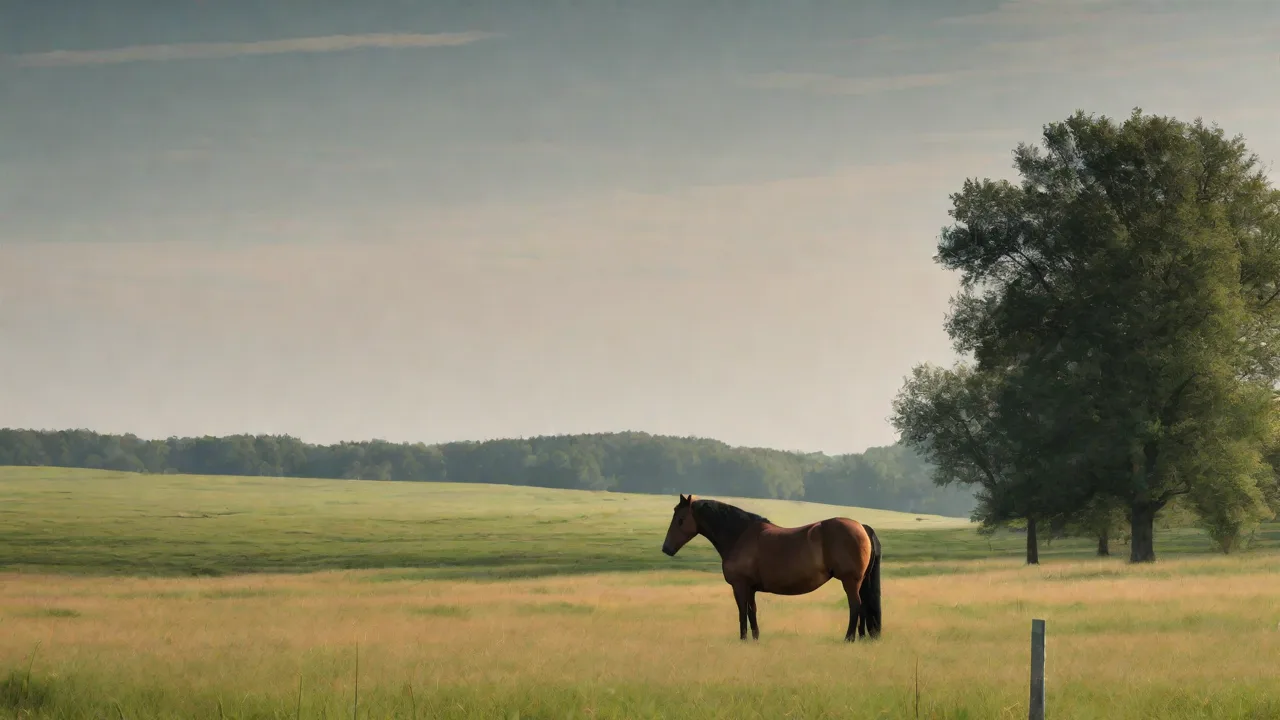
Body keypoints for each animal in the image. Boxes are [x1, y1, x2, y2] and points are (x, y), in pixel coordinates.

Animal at [661, 494, 882, 642]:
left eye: (680, 520)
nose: (666, 548)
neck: (739, 536)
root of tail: (861, 527)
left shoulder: (740, 586)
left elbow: (742, 612)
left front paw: (743, 639)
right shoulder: (750, 588)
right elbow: (752, 611)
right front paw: (755, 638)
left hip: (850, 581)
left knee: (855, 606)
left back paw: (849, 638)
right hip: (859, 582)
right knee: (863, 607)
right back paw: (861, 637)